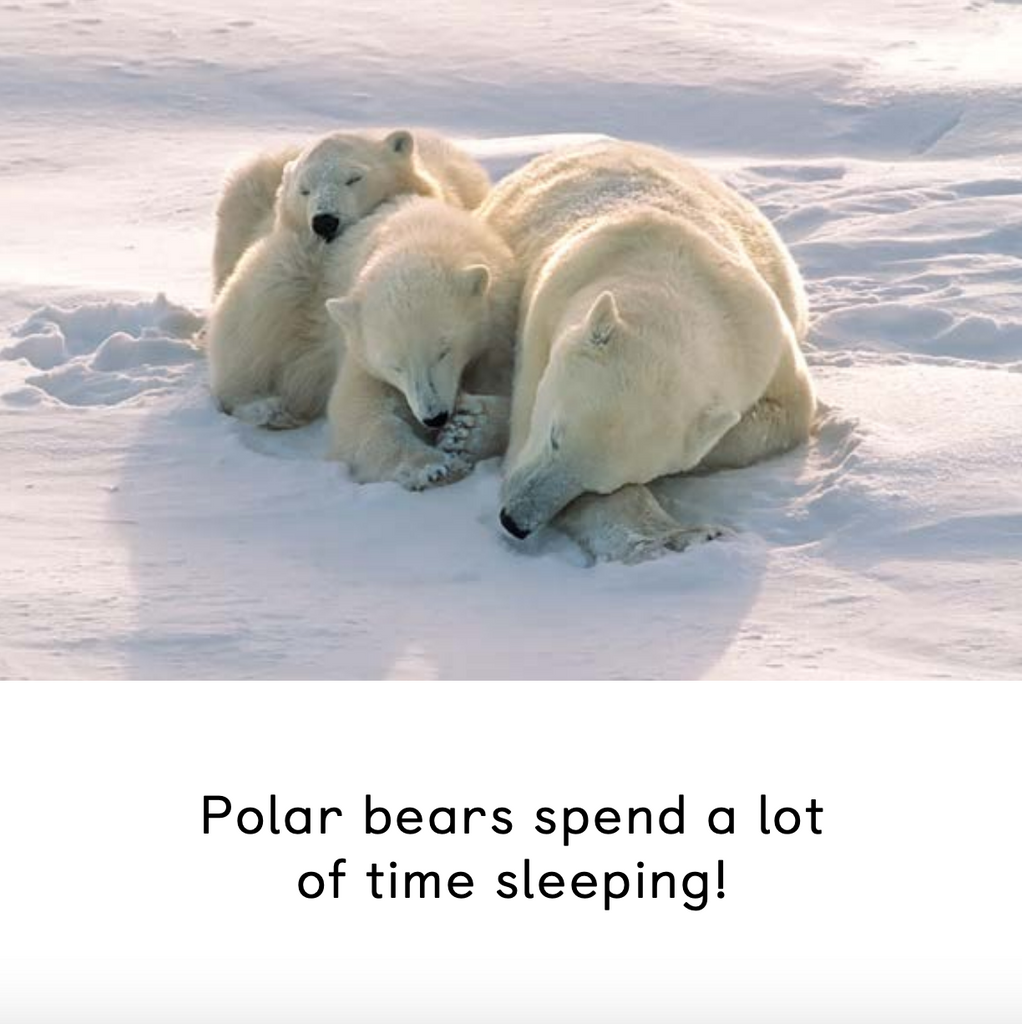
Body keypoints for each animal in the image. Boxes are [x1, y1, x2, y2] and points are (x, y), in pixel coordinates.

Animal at [322, 196, 520, 490]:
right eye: (395, 366)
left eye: (443, 351)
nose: (434, 416)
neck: (416, 235)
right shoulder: (359, 356)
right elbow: (358, 411)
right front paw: (432, 467)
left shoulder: (496, 334)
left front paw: (467, 431)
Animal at [483, 139, 816, 564]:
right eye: (555, 436)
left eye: (601, 484)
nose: (515, 520)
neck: (667, 271)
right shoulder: (544, 321)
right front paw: (673, 537)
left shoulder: (761, 338)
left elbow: (791, 413)